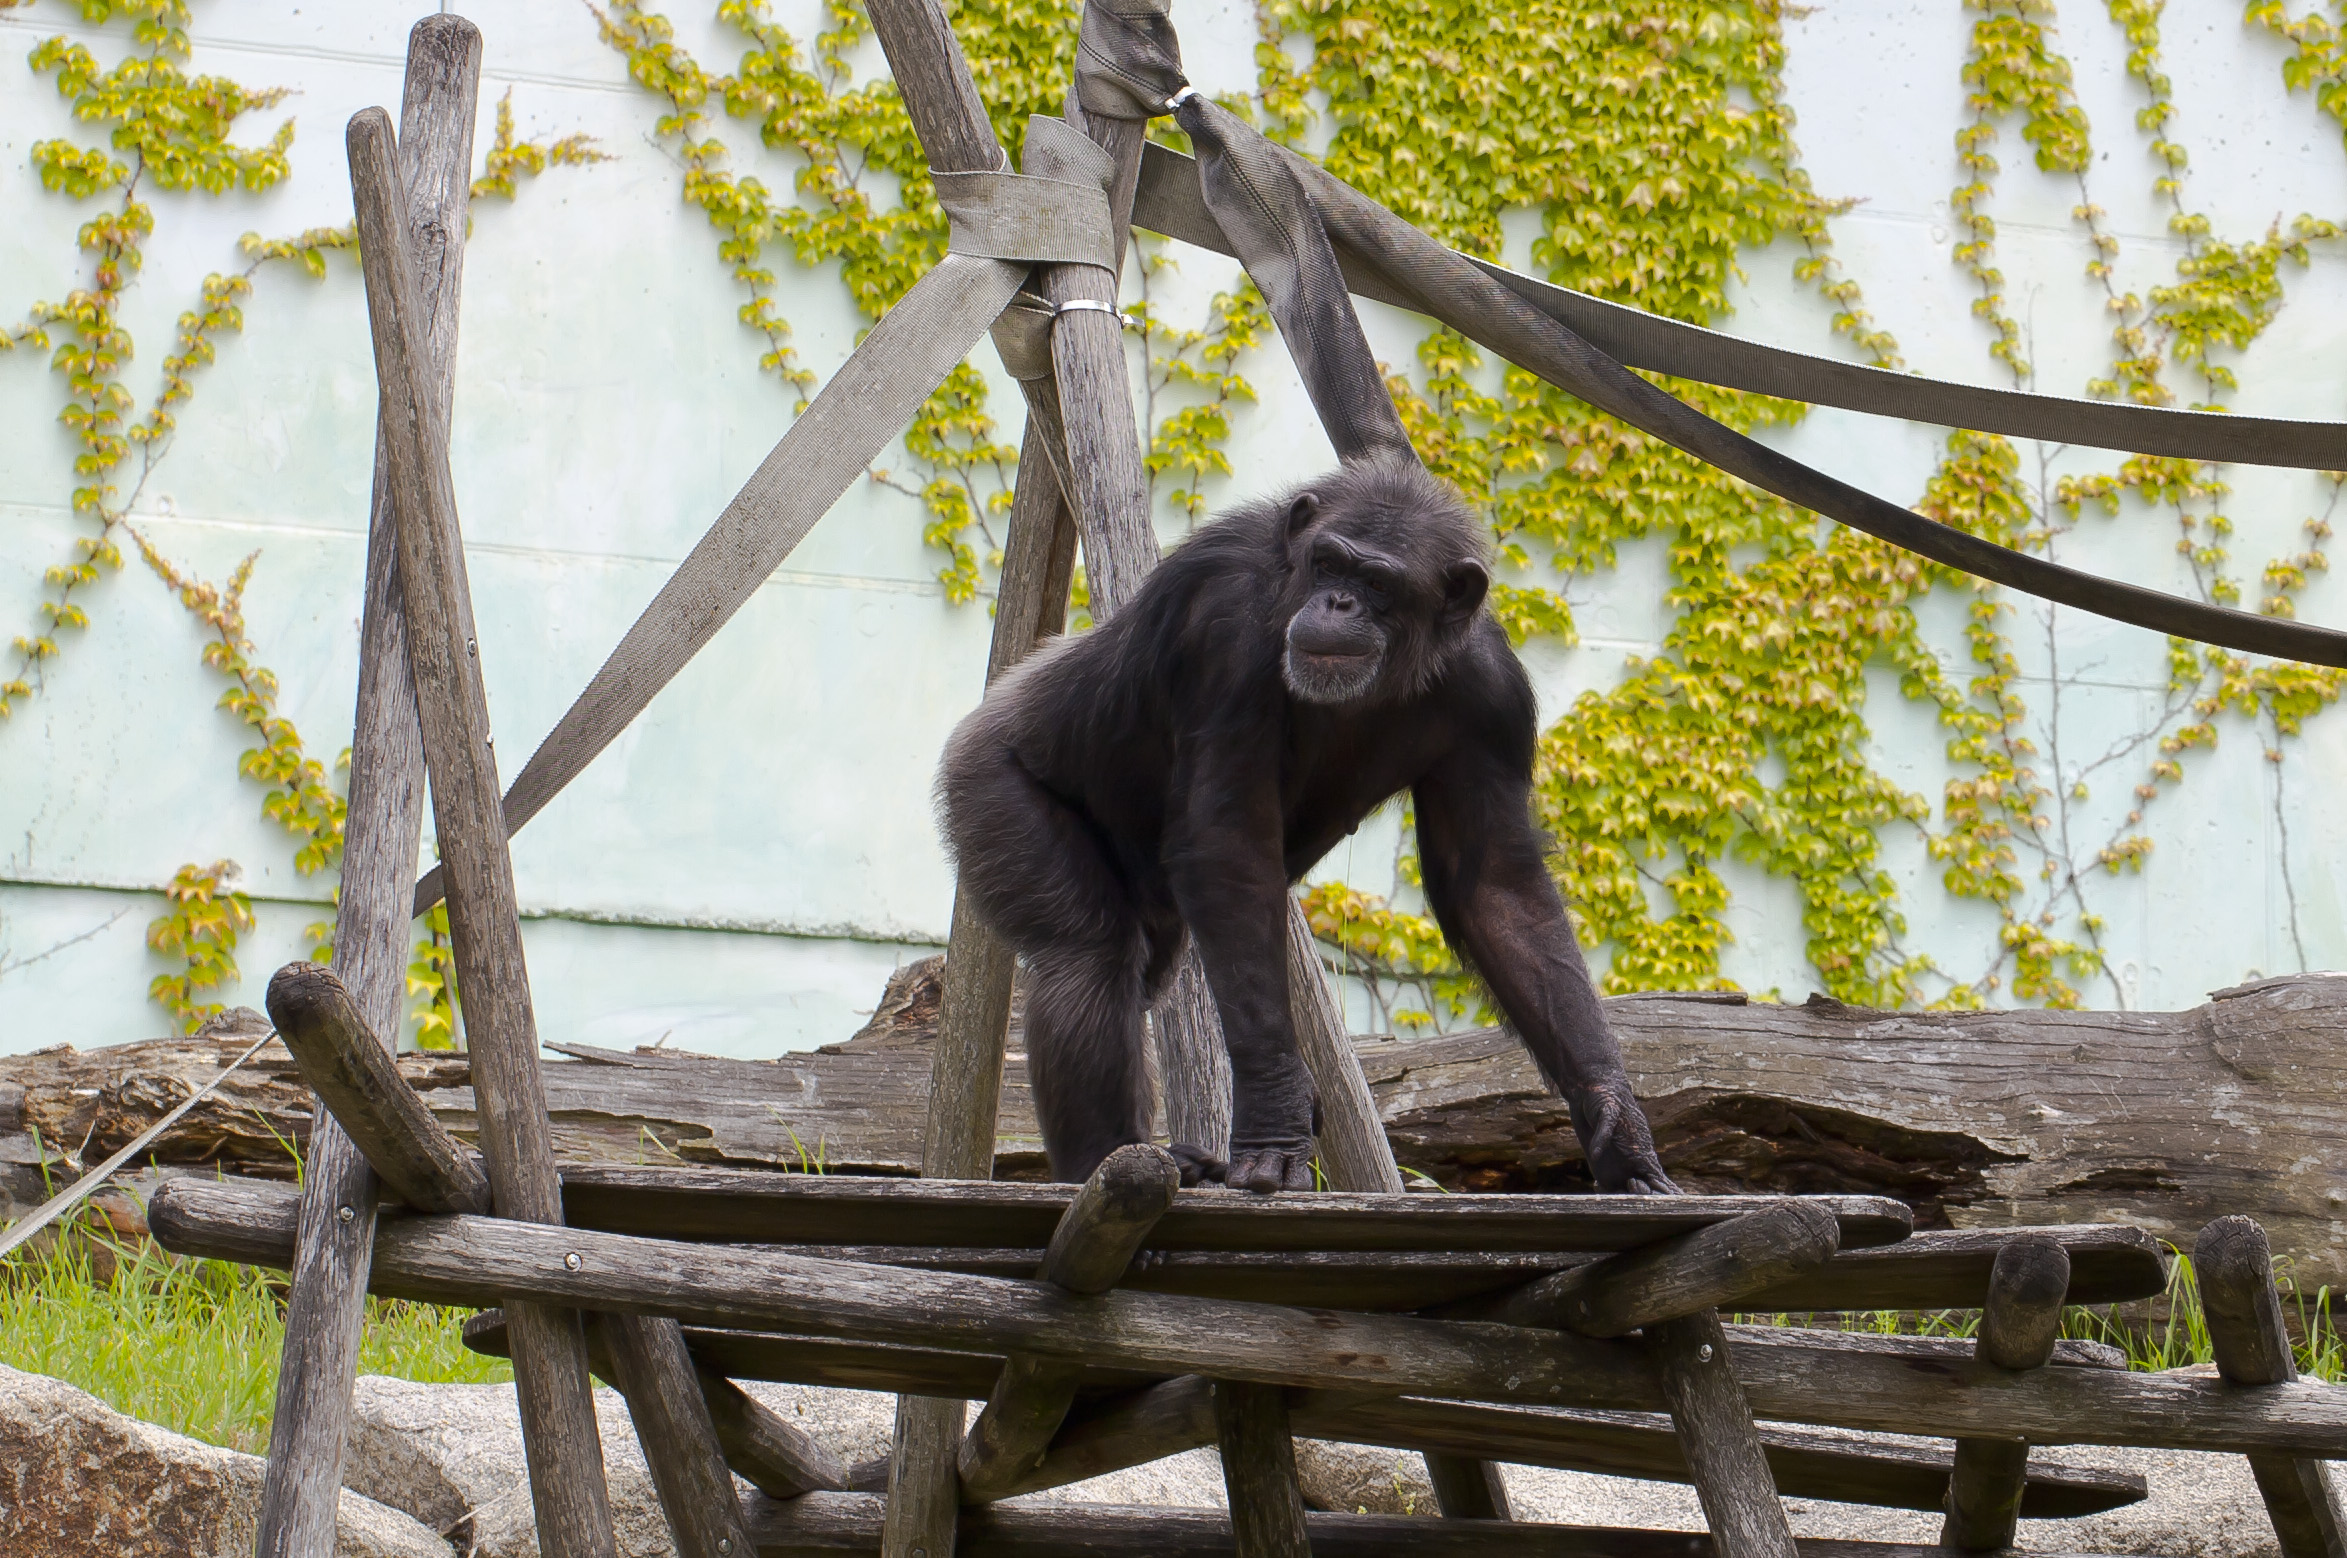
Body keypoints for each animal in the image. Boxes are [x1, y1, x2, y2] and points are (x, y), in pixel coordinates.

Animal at [937, 454, 1676, 1195]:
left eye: (1377, 583)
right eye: (1327, 564)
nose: (1337, 604)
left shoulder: (1494, 700)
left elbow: (1497, 889)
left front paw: (1617, 1121)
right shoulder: (1220, 621)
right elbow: (1229, 844)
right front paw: (1276, 1115)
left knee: (1139, 972)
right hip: (988, 786)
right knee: (1088, 958)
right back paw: (1104, 1161)